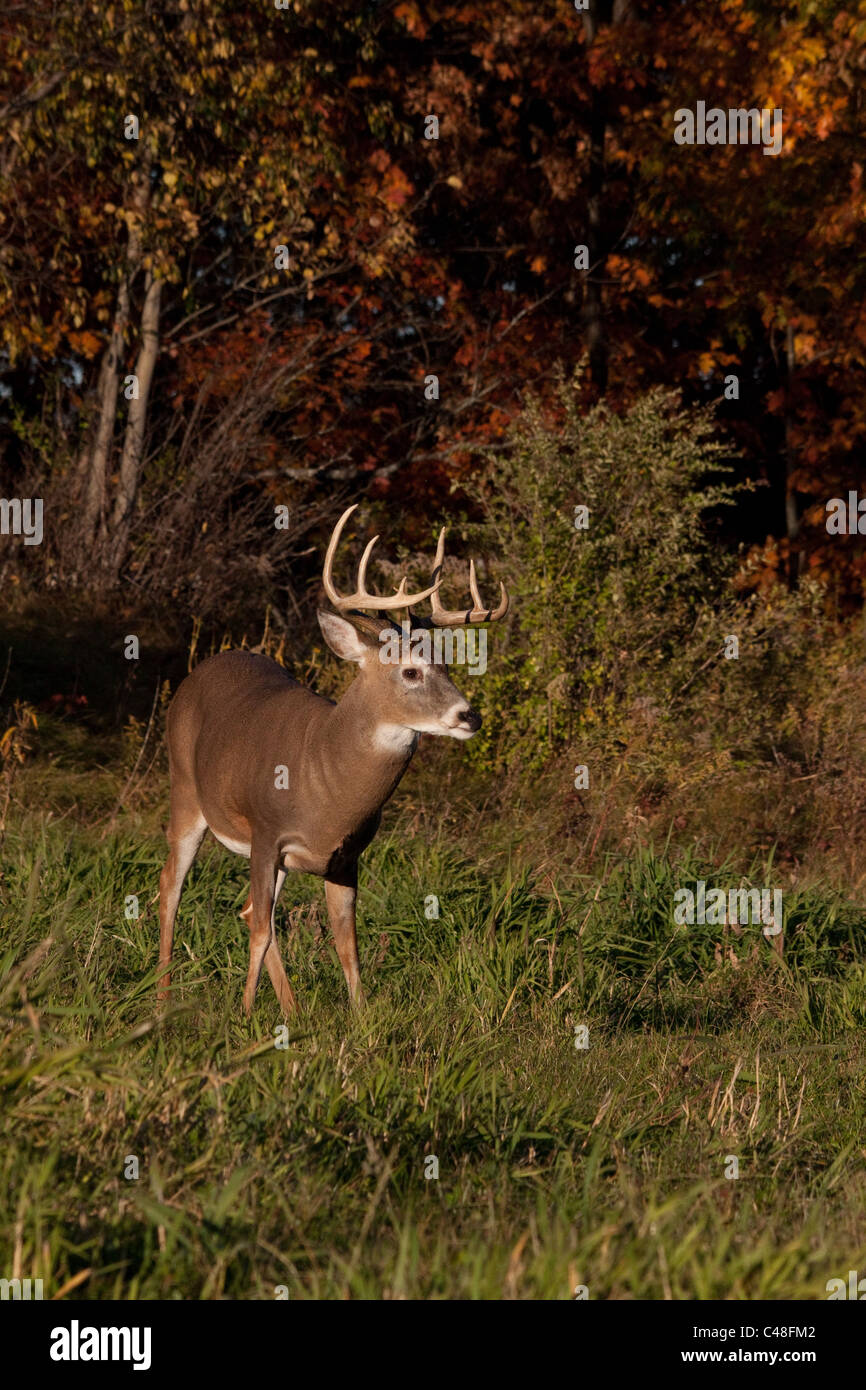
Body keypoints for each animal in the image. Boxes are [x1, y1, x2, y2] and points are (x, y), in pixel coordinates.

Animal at [157, 504, 509, 1017]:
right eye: (410, 671)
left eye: (447, 666)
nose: (470, 715)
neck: (326, 780)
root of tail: (202, 668)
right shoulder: (266, 834)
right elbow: (261, 931)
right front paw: (244, 1014)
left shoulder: (346, 857)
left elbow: (347, 944)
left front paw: (361, 1018)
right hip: (185, 789)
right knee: (173, 887)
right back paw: (162, 996)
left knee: (250, 910)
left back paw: (291, 1009)